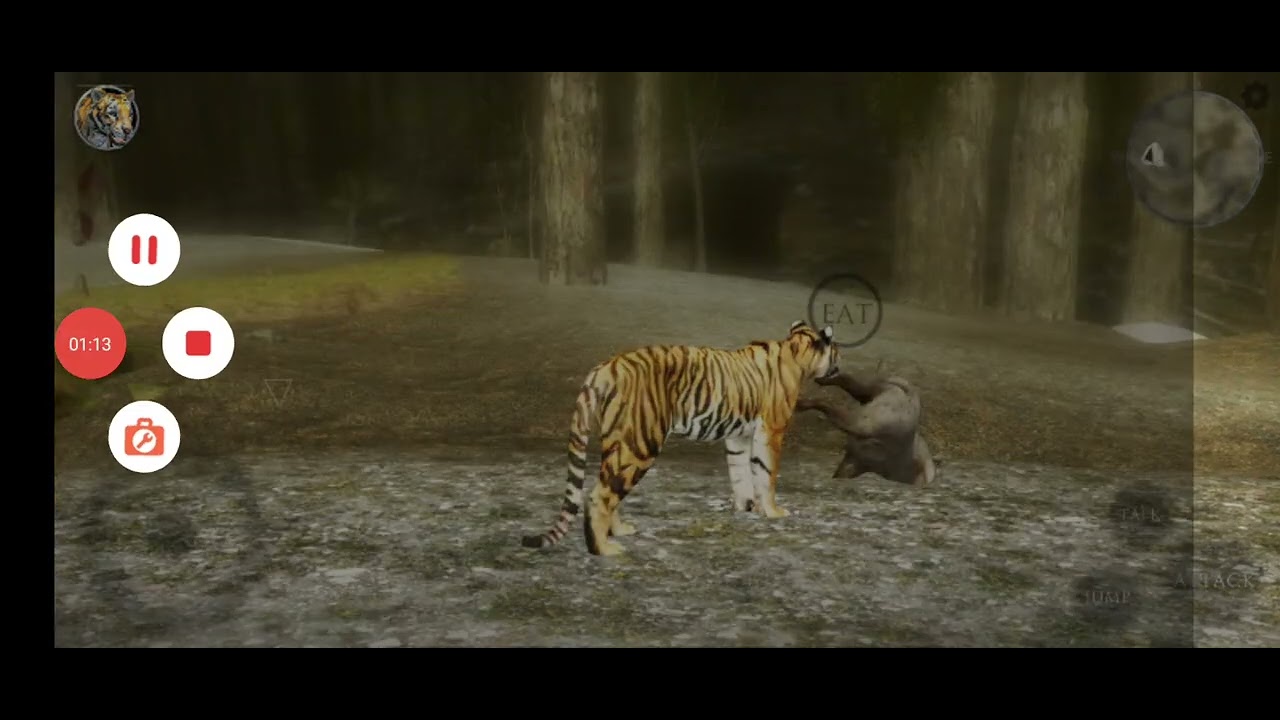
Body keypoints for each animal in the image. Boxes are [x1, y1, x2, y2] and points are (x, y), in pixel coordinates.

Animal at [521, 320, 840, 557]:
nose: (839, 364)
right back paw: (605, 549)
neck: (796, 351)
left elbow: (740, 475)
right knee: (600, 496)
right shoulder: (771, 430)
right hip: (640, 442)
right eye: (836, 351)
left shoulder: (738, 436)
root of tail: (607, 366)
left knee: (607, 490)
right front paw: (773, 512)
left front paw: (745, 508)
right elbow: (766, 473)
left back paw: (619, 531)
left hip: (619, 441)